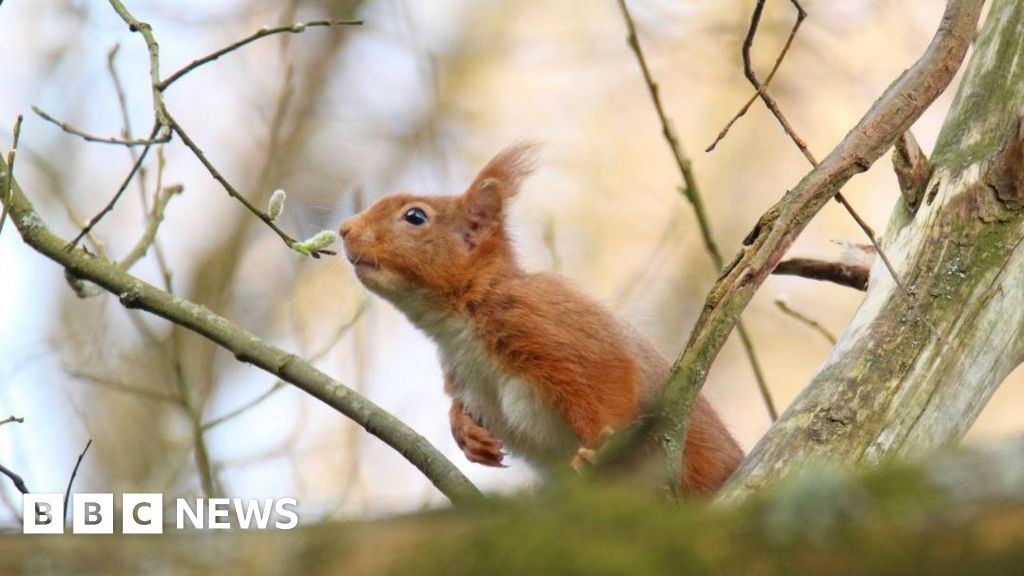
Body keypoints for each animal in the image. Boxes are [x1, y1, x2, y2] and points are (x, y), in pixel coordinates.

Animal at [339, 144, 743, 493]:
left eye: (415, 217)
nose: (344, 229)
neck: (460, 325)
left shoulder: (549, 323)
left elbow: (607, 384)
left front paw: (593, 453)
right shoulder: (464, 377)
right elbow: (462, 410)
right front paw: (467, 435)